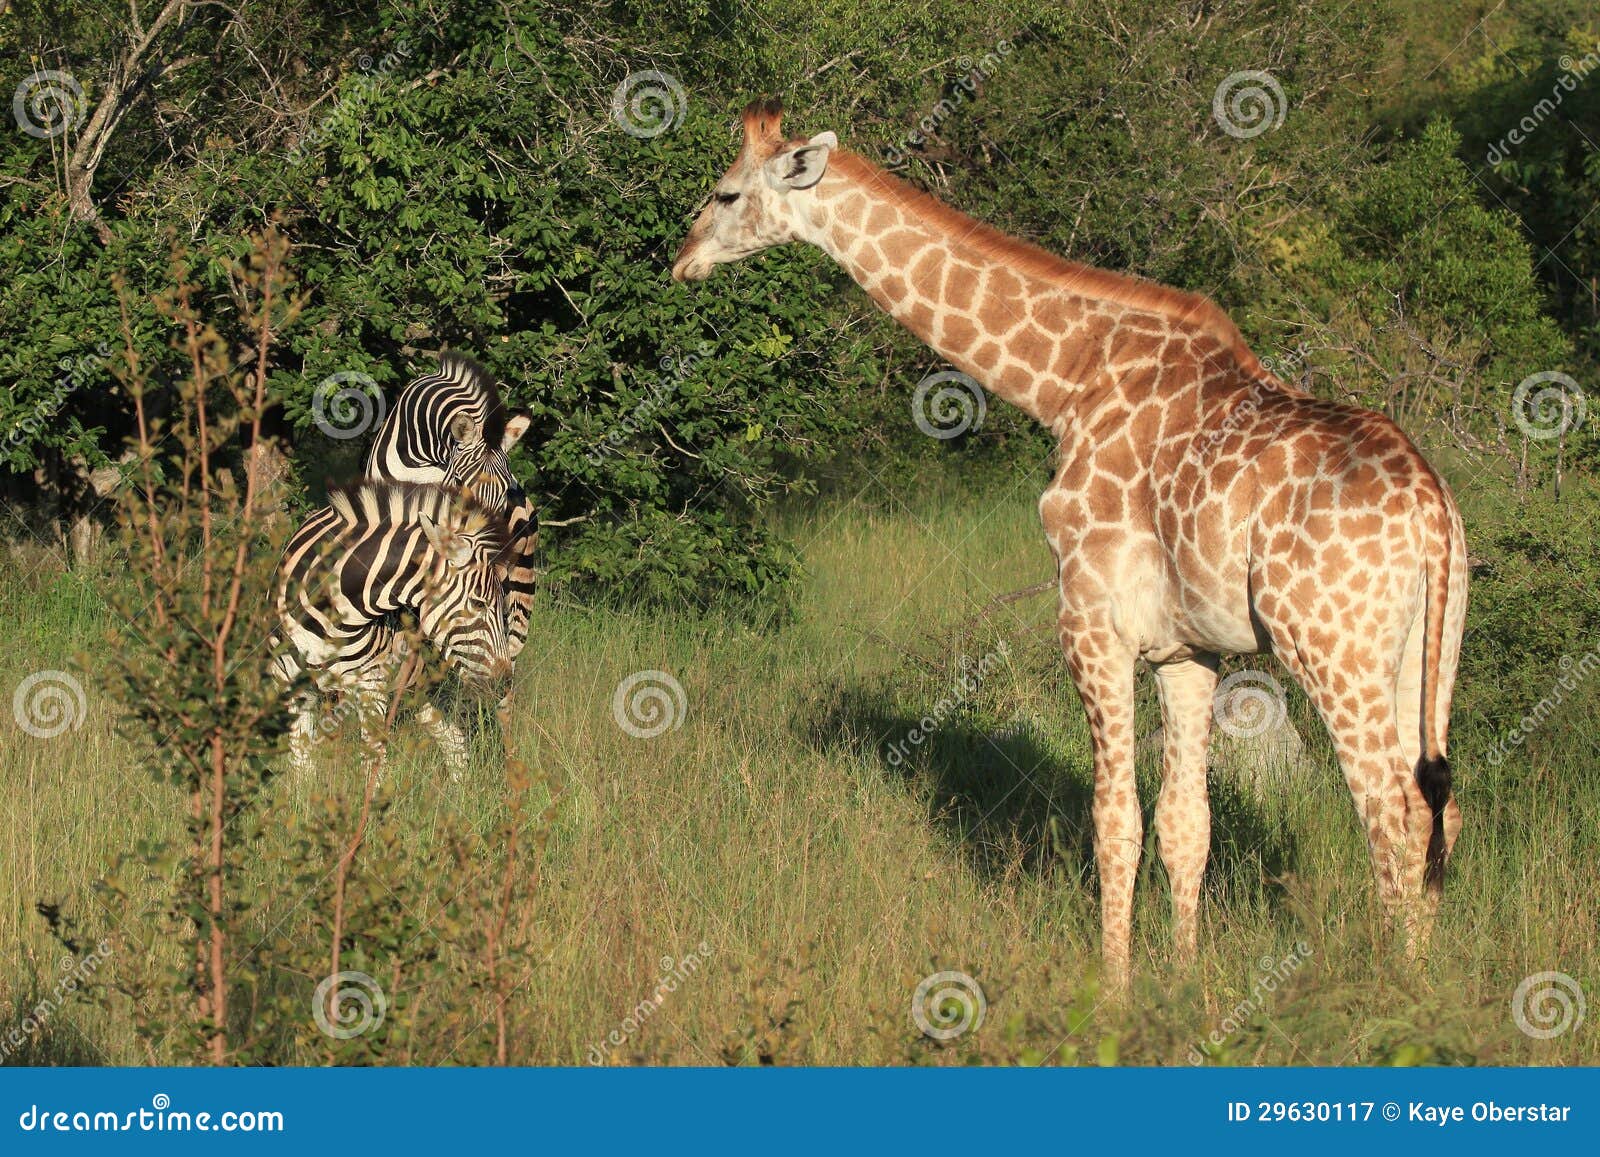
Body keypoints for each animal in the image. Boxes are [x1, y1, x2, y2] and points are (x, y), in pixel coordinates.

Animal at [273, 480, 514, 776]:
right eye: (478, 603)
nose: (504, 683)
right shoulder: (293, 686)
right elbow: (301, 762)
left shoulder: (370, 687)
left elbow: (372, 762)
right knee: (453, 742)